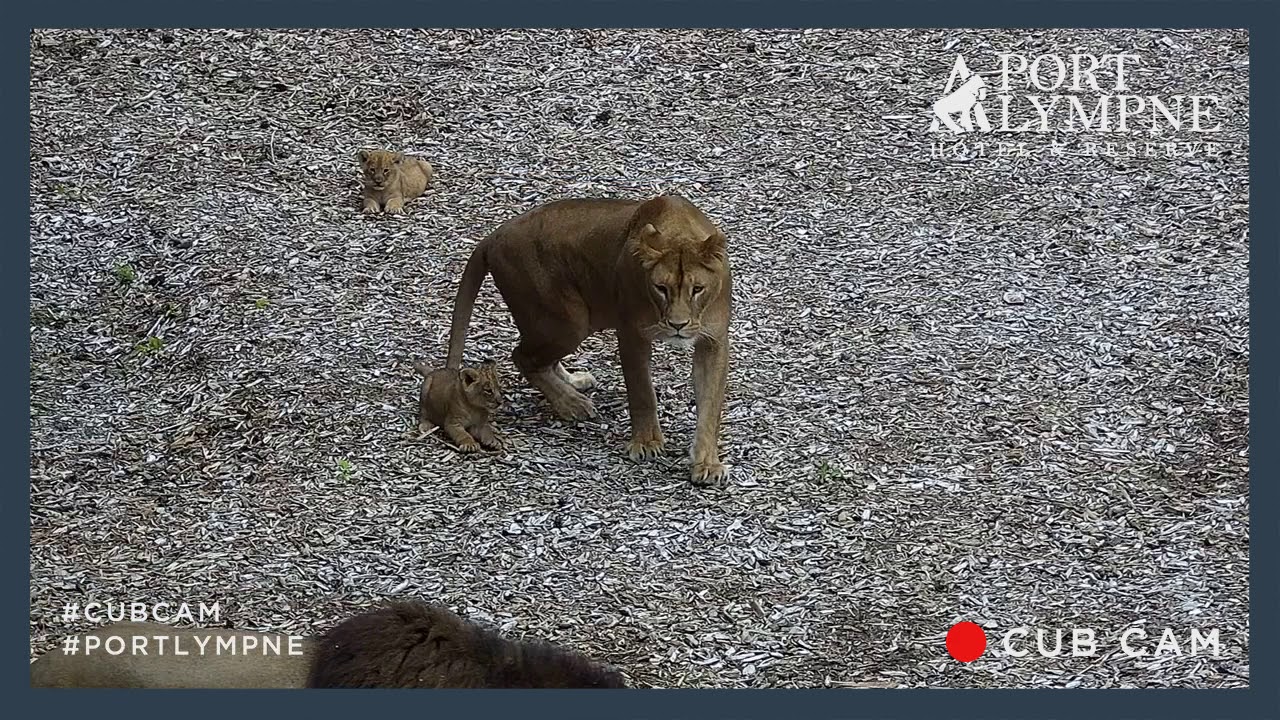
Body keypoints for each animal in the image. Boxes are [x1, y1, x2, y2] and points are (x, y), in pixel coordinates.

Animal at [443, 193, 731, 486]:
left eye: (697, 289)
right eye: (661, 288)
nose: (677, 325)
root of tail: (494, 235)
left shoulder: (714, 341)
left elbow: (710, 405)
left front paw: (707, 463)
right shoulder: (631, 333)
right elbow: (642, 392)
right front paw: (647, 442)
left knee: (539, 358)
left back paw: (574, 382)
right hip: (568, 321)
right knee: (522, 357)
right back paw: (572, 404)